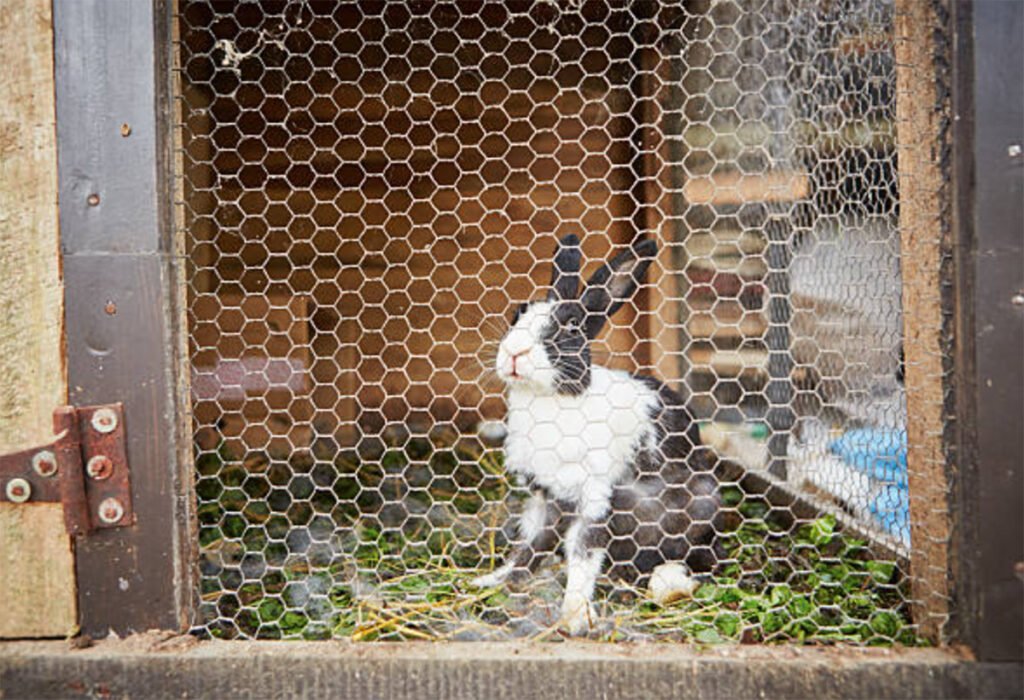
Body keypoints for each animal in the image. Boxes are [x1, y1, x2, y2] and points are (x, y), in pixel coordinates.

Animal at [470, 233, 719, 635]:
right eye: (518, 312)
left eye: (572, 325)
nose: (514, 353)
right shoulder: (544, 499)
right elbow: (529, 546)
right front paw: (492, 581)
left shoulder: (594, 498)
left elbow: (583, 555)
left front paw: (575, 616)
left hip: (703, 505)